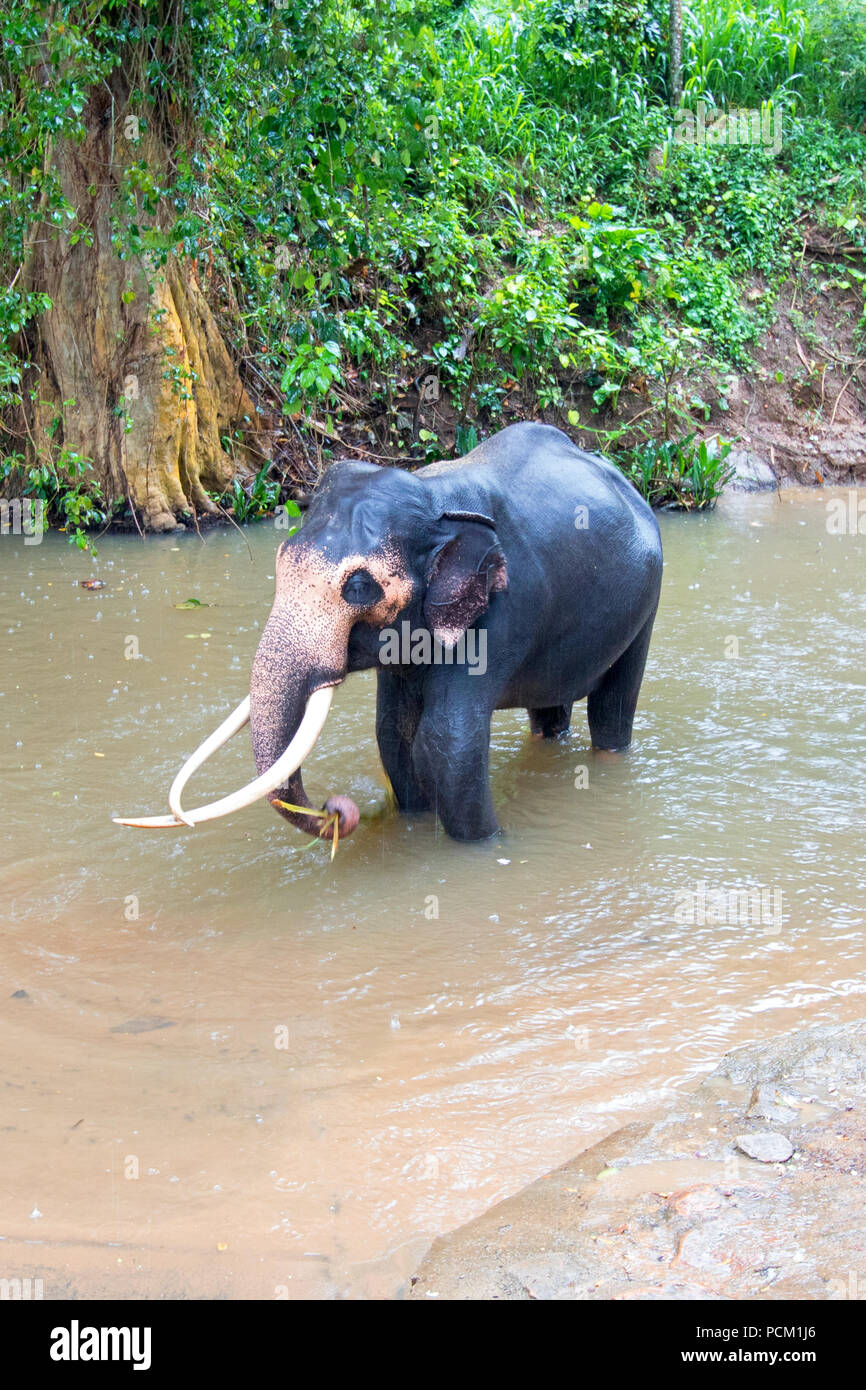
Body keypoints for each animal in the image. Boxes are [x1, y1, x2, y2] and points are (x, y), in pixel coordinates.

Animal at [116, 422, 662, 843]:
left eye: (359, 587)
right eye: (280, 560)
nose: (338, 809)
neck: (435, 500)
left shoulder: (500, 617)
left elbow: (448, 741)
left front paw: (488, 845)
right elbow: (394, 734)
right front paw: (413, 825)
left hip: (648, 601)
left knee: (613, 705)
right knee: (549, 710)